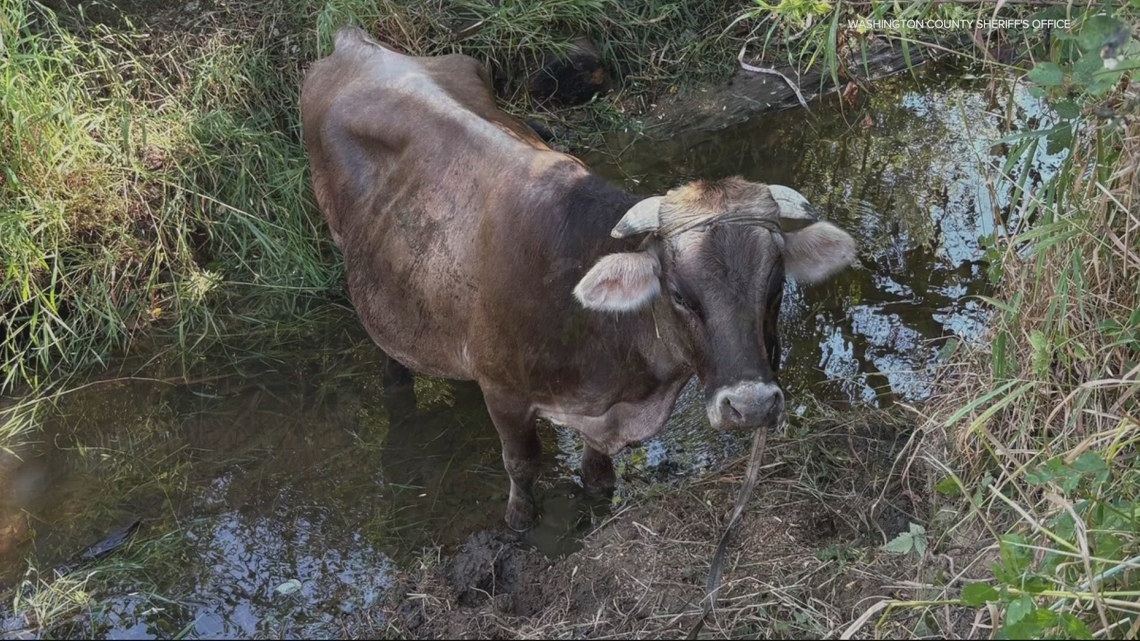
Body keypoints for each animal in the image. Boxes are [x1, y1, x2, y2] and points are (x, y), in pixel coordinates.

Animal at [300, 26, 858, 531]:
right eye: (679, 294)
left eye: (776, 284)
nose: (752, 405)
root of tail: (353, 41)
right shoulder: (503, 390)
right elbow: (522, 464)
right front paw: (519, 524)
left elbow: (598, 474)